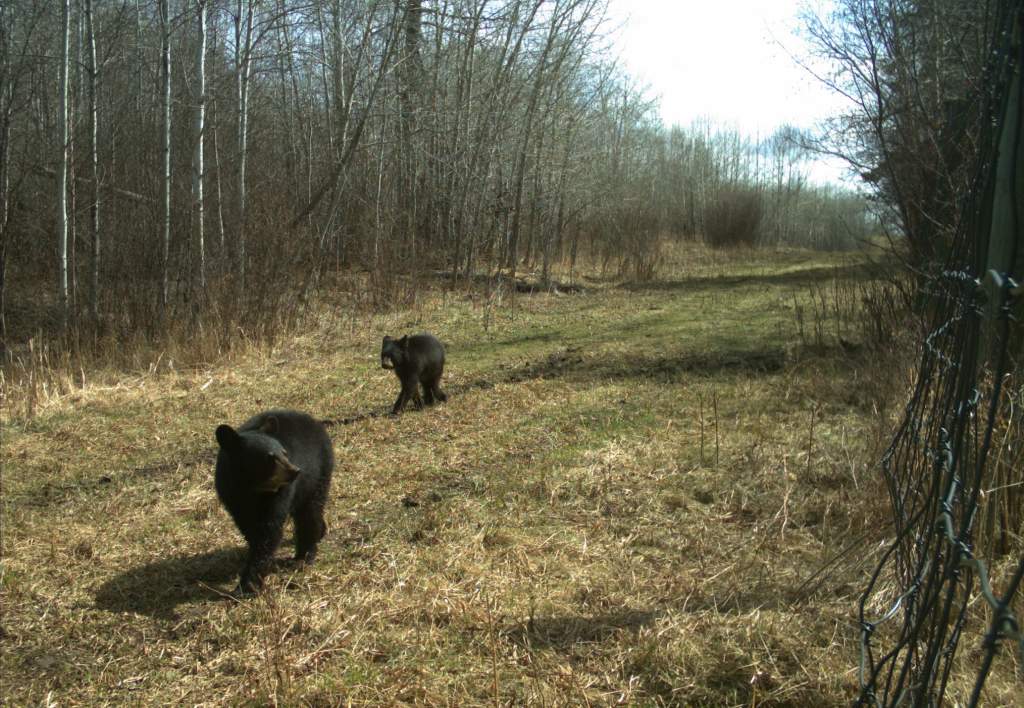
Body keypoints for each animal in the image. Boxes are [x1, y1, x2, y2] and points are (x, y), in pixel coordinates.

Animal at [214, 409, 334, 595]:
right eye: (269, 458)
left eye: (284, 453)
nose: (296, 471)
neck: (253, 487)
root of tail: (315, 422)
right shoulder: (231, 493)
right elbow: (248, 526)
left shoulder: (279, 494)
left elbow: (269, 531)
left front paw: (248, 584)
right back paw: (320, 532)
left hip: (318, 472)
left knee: (309, 512)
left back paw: (303, 556)